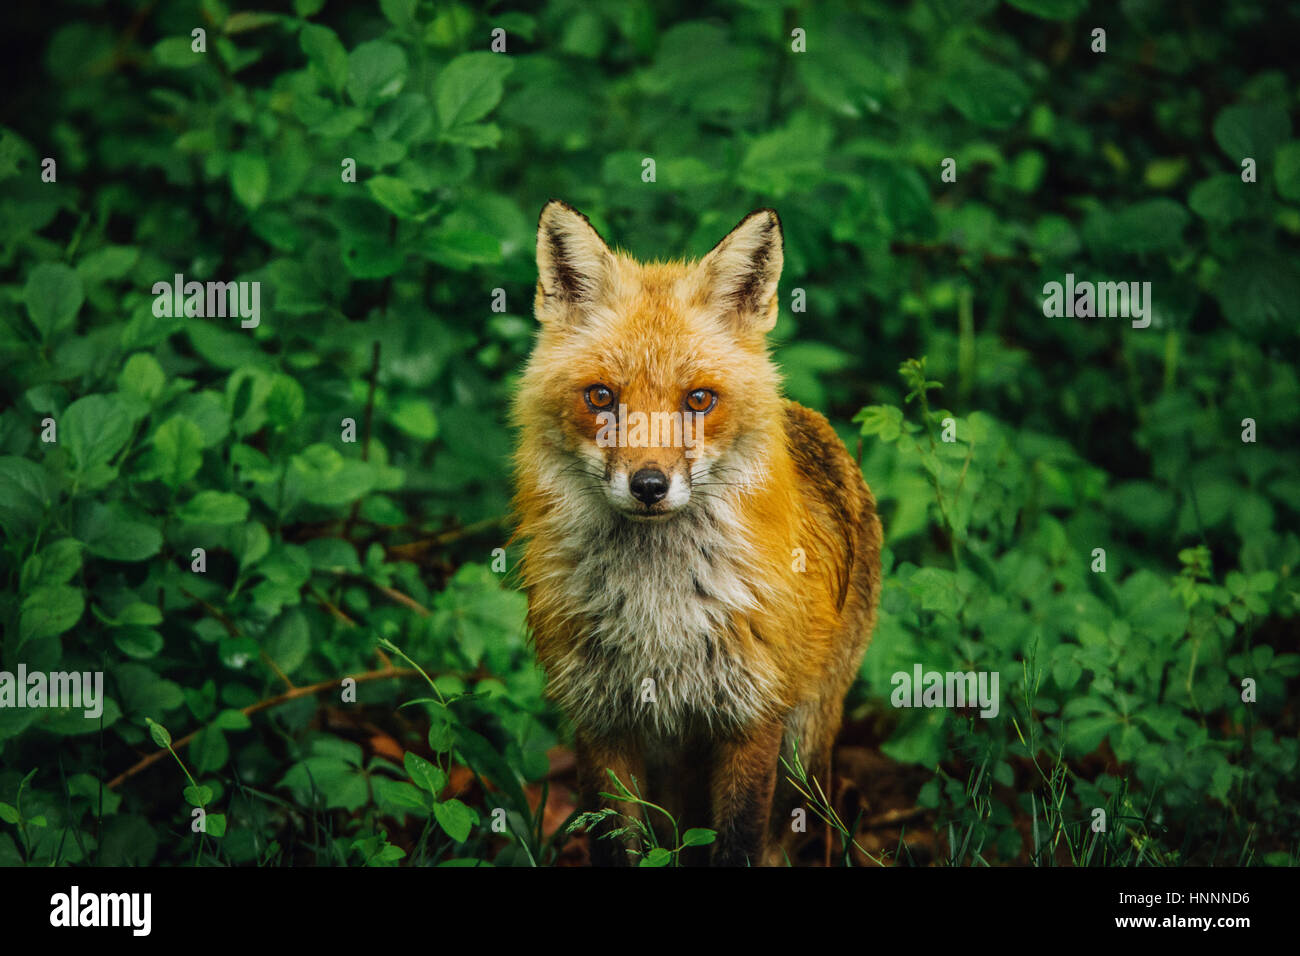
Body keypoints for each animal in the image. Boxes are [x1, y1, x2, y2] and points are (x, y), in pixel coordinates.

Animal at [512, 200, 882, 866]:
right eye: (601, 396)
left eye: (700, 400)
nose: (649, 486)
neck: (659, 615)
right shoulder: (601, 719)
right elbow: (618, 844)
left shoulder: (753, 717)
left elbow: (737, 840)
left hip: (804, 739)